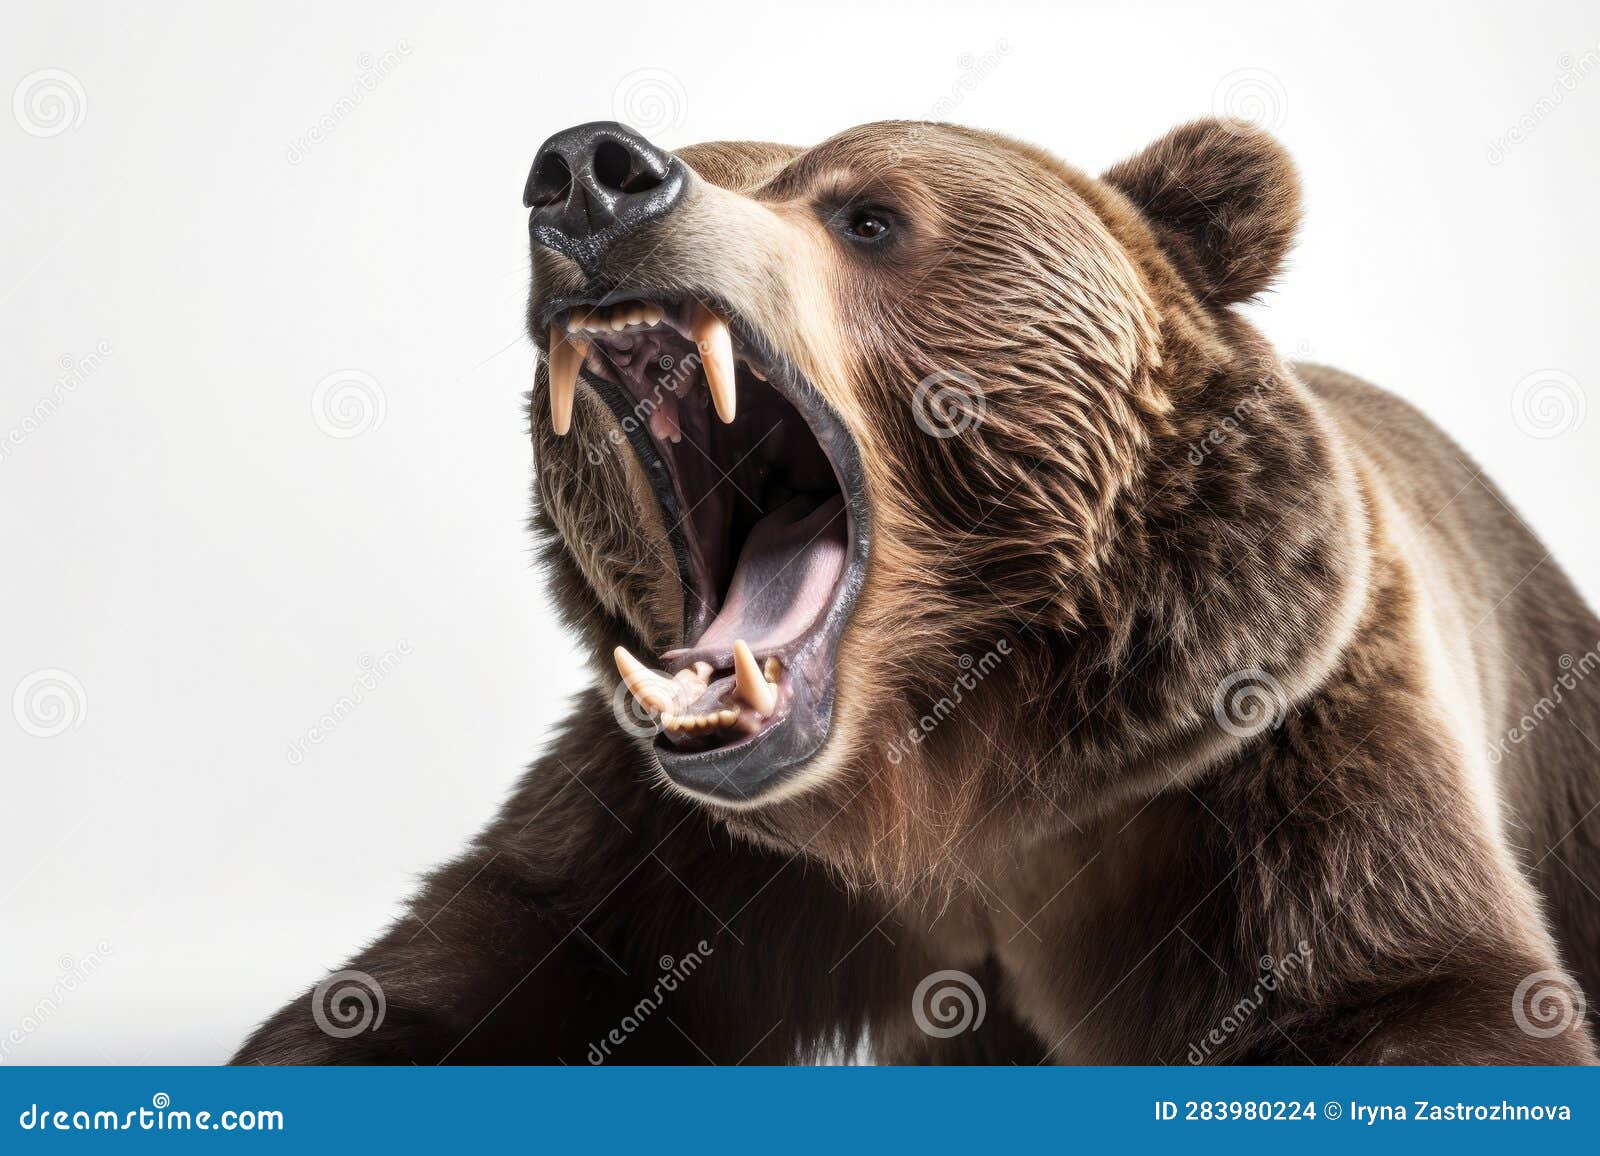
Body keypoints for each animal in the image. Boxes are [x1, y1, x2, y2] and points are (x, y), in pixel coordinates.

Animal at [235, 117, 1600, 1065]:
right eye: (717, 159)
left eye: (871, 216)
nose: (589, 169)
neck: (945, 766)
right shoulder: (679, 831)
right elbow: (473, 967)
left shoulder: (1262, 749)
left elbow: (1416, 990)